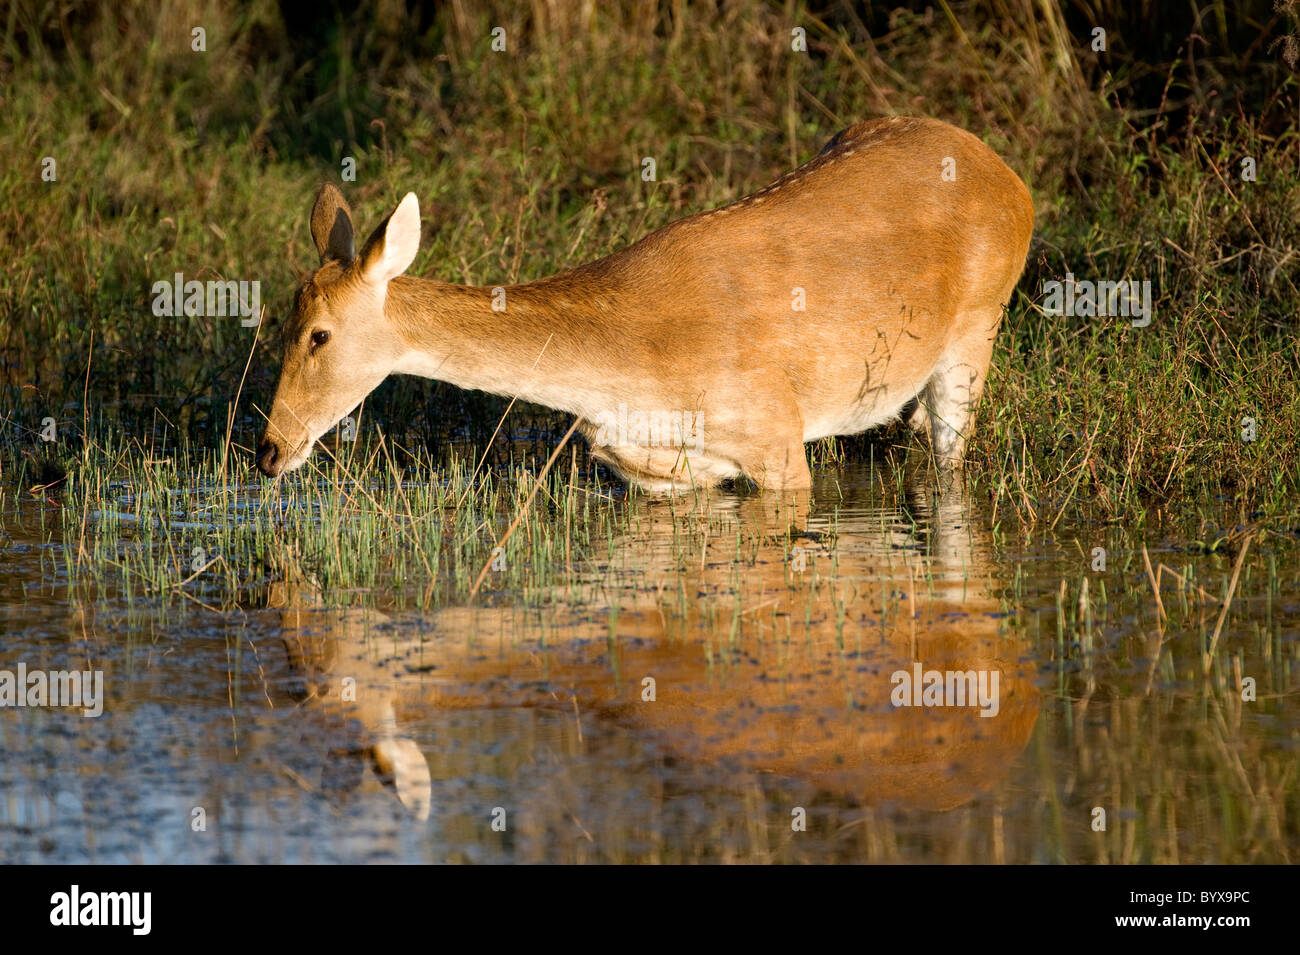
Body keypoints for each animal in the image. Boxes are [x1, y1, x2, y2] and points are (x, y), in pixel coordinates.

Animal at [255, 116, 1034, 491]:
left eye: (319, 334)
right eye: (280, 324)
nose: (268, 451)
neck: (634, 364)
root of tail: (1013, 178)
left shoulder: (778, 434)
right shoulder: (662, 472)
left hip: (976, 331)